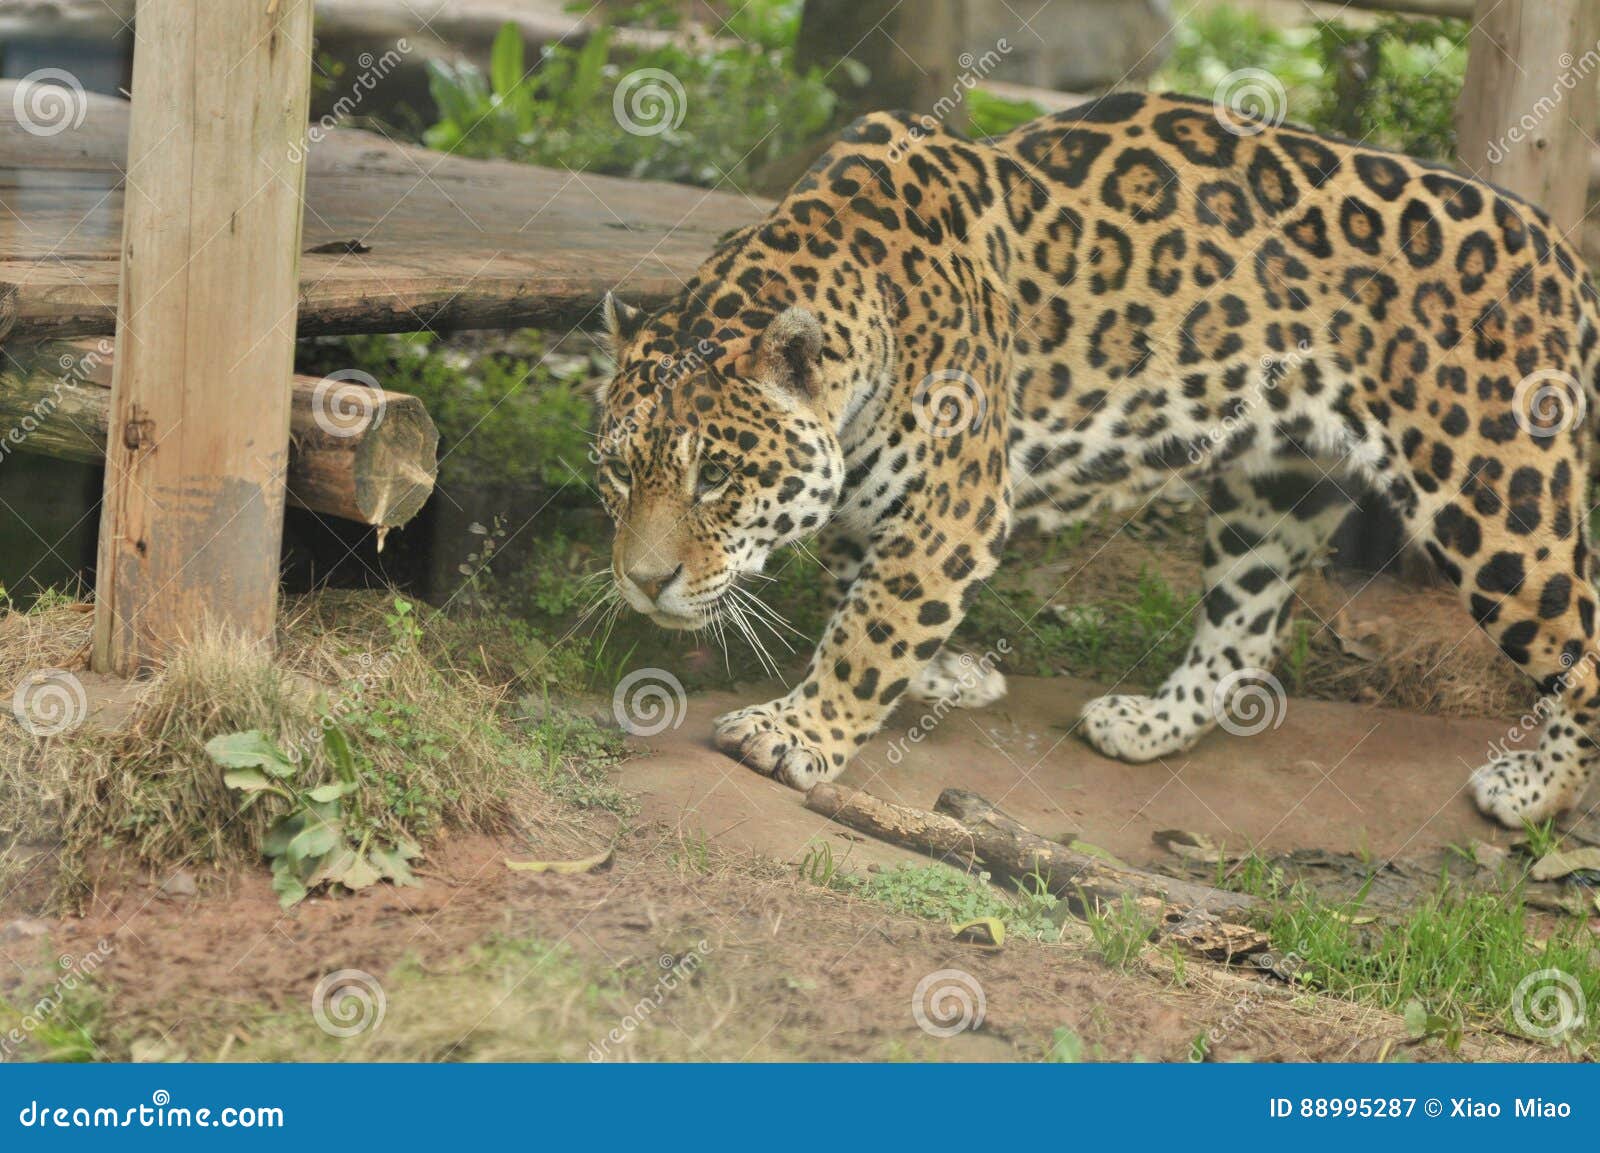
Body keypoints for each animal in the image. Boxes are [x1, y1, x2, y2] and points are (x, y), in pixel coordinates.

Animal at [594, 90, 1600, 829]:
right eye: (616, 471)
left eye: (715, 476)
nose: (643, 583)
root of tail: (1564, 254)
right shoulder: (872, 504)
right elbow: (864, 595)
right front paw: (944, 673)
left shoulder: (954, 507)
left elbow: (872, 628)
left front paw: (796, 730)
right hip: (1279, 485)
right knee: (1241, 625)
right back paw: (1147, 723)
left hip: (1497, 498)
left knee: (1582, 649)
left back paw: (1534, 793)